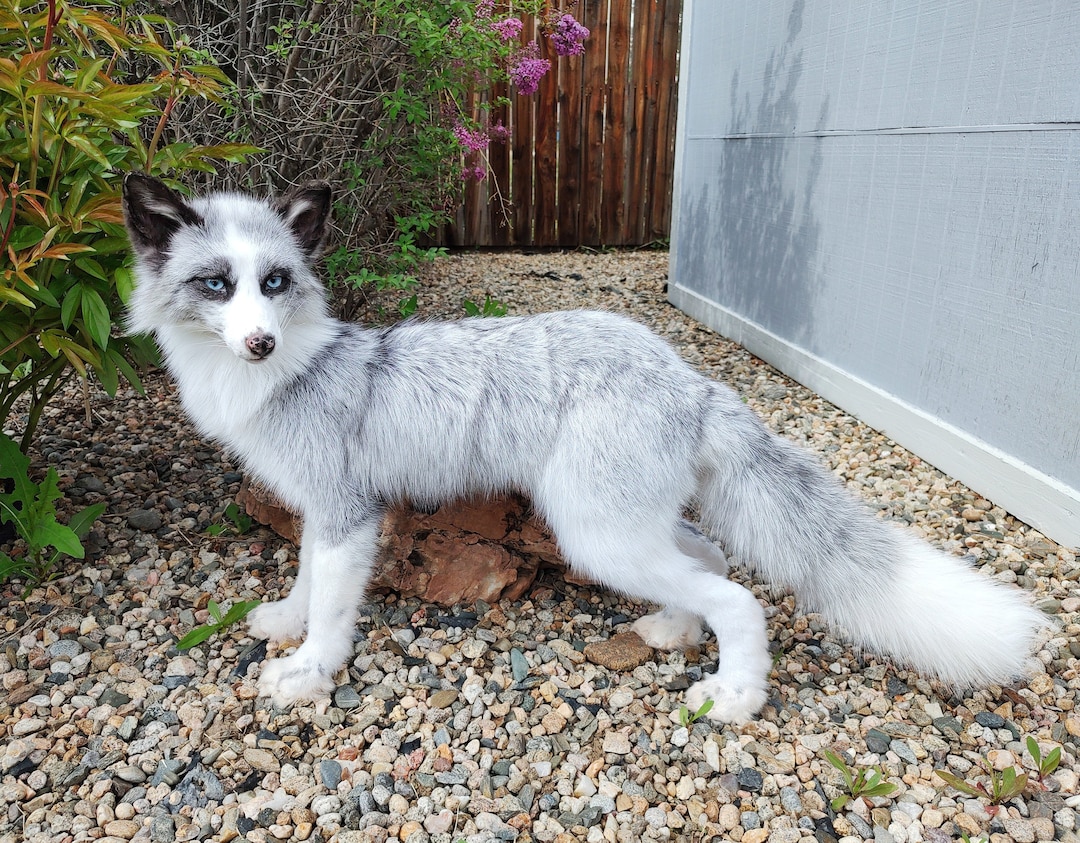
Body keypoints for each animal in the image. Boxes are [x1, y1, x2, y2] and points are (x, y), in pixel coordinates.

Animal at [121, 172, 1046, 722]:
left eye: (274, 282)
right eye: (217, 284)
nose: (260, 343)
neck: (293, 374)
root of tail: (688, 376)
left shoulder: (351, 515)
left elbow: (332, 607)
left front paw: (312, 670)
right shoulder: (322, 510)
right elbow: (305, 580)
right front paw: (284, 623)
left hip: (592, 532)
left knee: (740, 597)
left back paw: (736, 695)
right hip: (626, 522)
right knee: (709, 557)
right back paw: (674, 627)